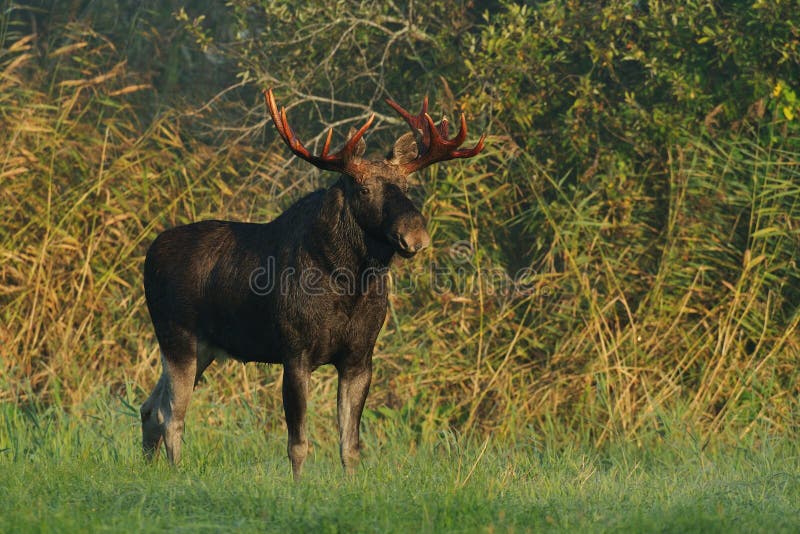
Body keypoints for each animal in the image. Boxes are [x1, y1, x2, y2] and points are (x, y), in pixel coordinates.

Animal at [139, 88, 485, 480]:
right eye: (363, 189)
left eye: (407, 186)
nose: (416, 236)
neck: (350, 285)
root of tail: (149, 255)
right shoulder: (295, 353)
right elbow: (298, 443)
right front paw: (297, 486)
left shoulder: (359, 358)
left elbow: (350, 445)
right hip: (178, 338)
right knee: (171, 416)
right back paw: (175, 473)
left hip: (204, 348)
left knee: (150, 408)